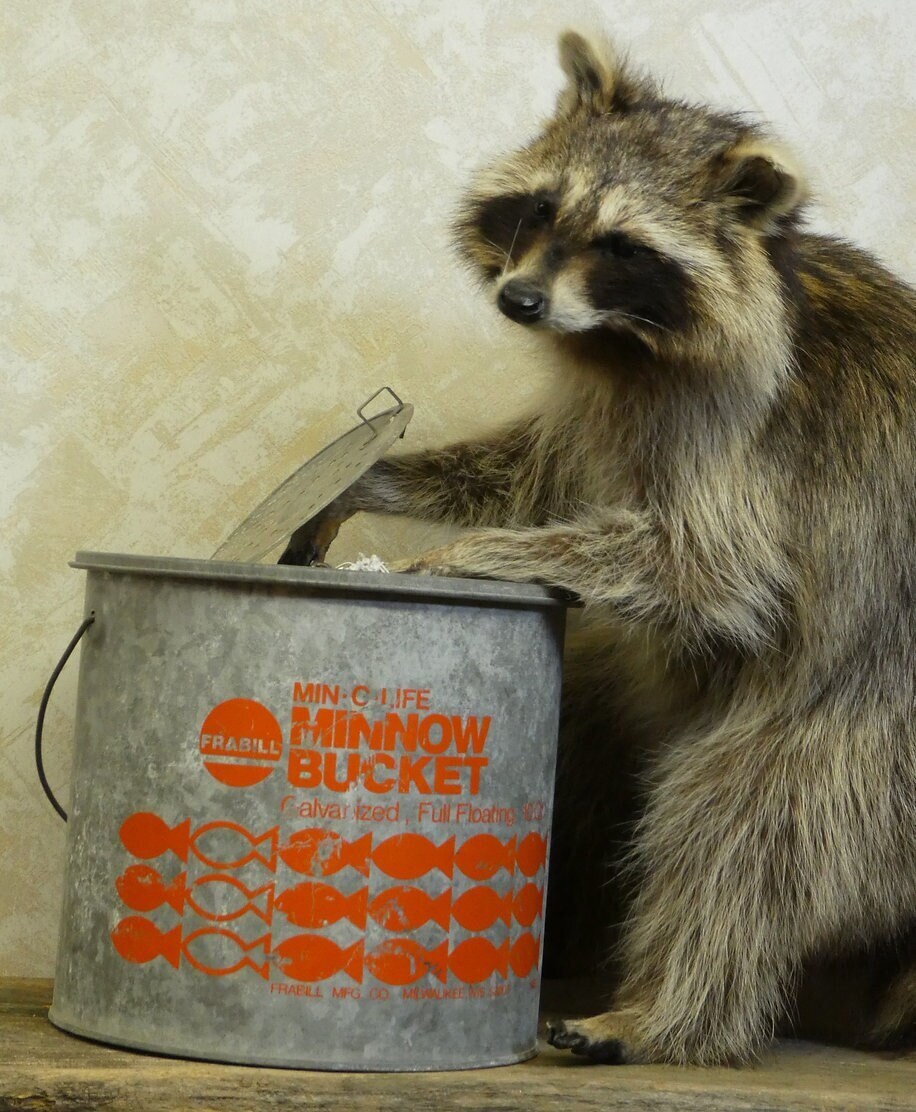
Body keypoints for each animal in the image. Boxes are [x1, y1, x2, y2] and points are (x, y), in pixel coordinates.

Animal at [280, 32, 916, 1064]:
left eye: (622, 245)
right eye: (542, 208)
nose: (520, 298)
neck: (621, 340)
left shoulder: (746, 432)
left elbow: (715, 573)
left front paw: (482, 552)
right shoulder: (607, 401)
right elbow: (542, 473)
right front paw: (376, 478)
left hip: (875, 737)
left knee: (746, 822)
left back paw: (672, 1012)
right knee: (584, 732)